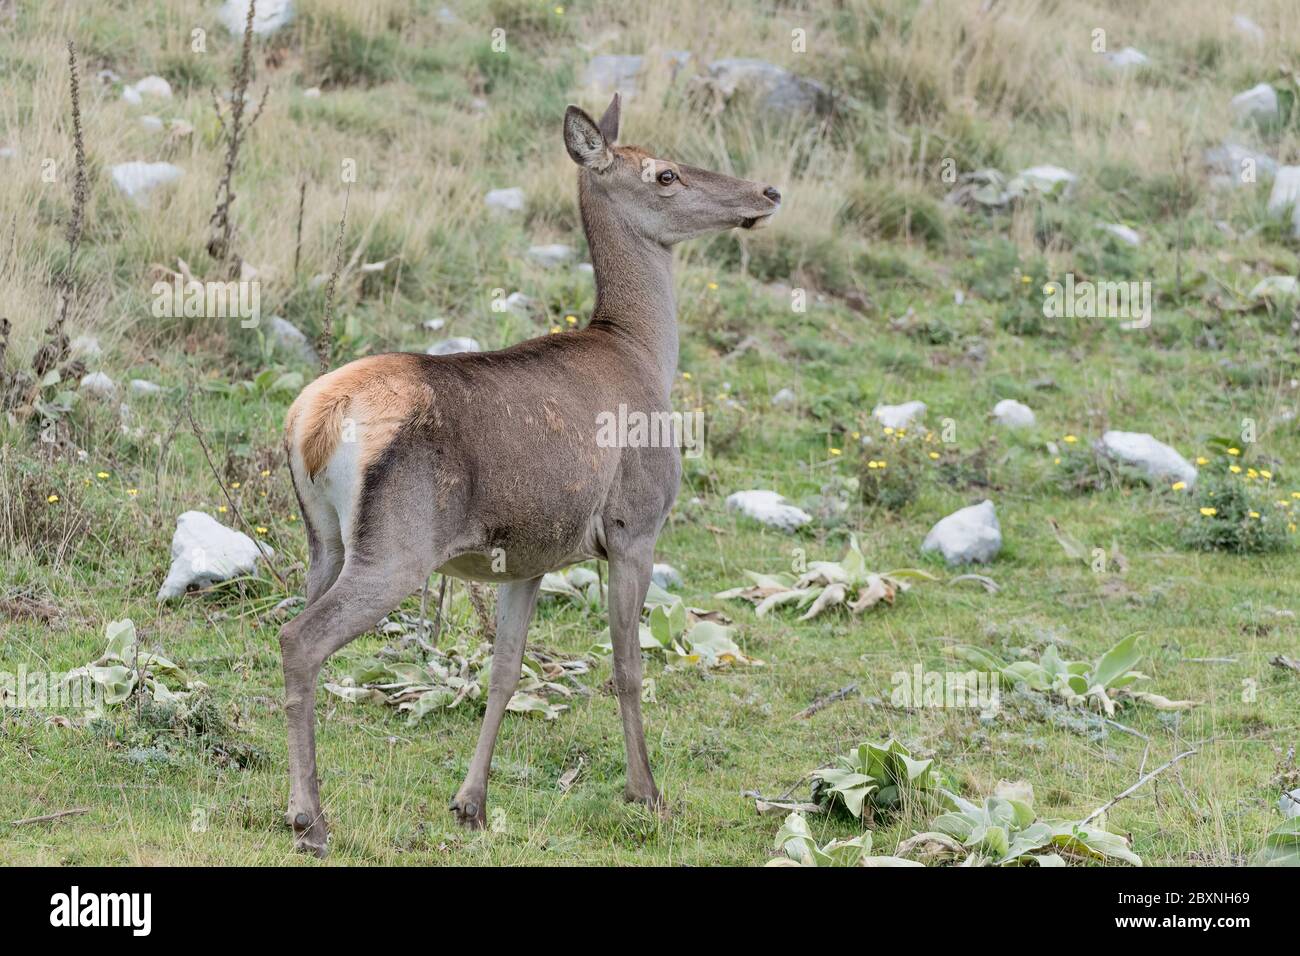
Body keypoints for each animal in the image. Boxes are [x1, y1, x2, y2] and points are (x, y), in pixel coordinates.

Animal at [278, 92, 781, 855]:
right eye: (664, 173)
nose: (766, 192)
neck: (644, 352)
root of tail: (315, 422)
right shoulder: (635, 527)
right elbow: (627, 667)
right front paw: (647, 793)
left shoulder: (528, 556)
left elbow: (505, 670)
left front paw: (471, 803)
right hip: (395, 548)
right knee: (299, 640)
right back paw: (311, 819)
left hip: (323, 541)